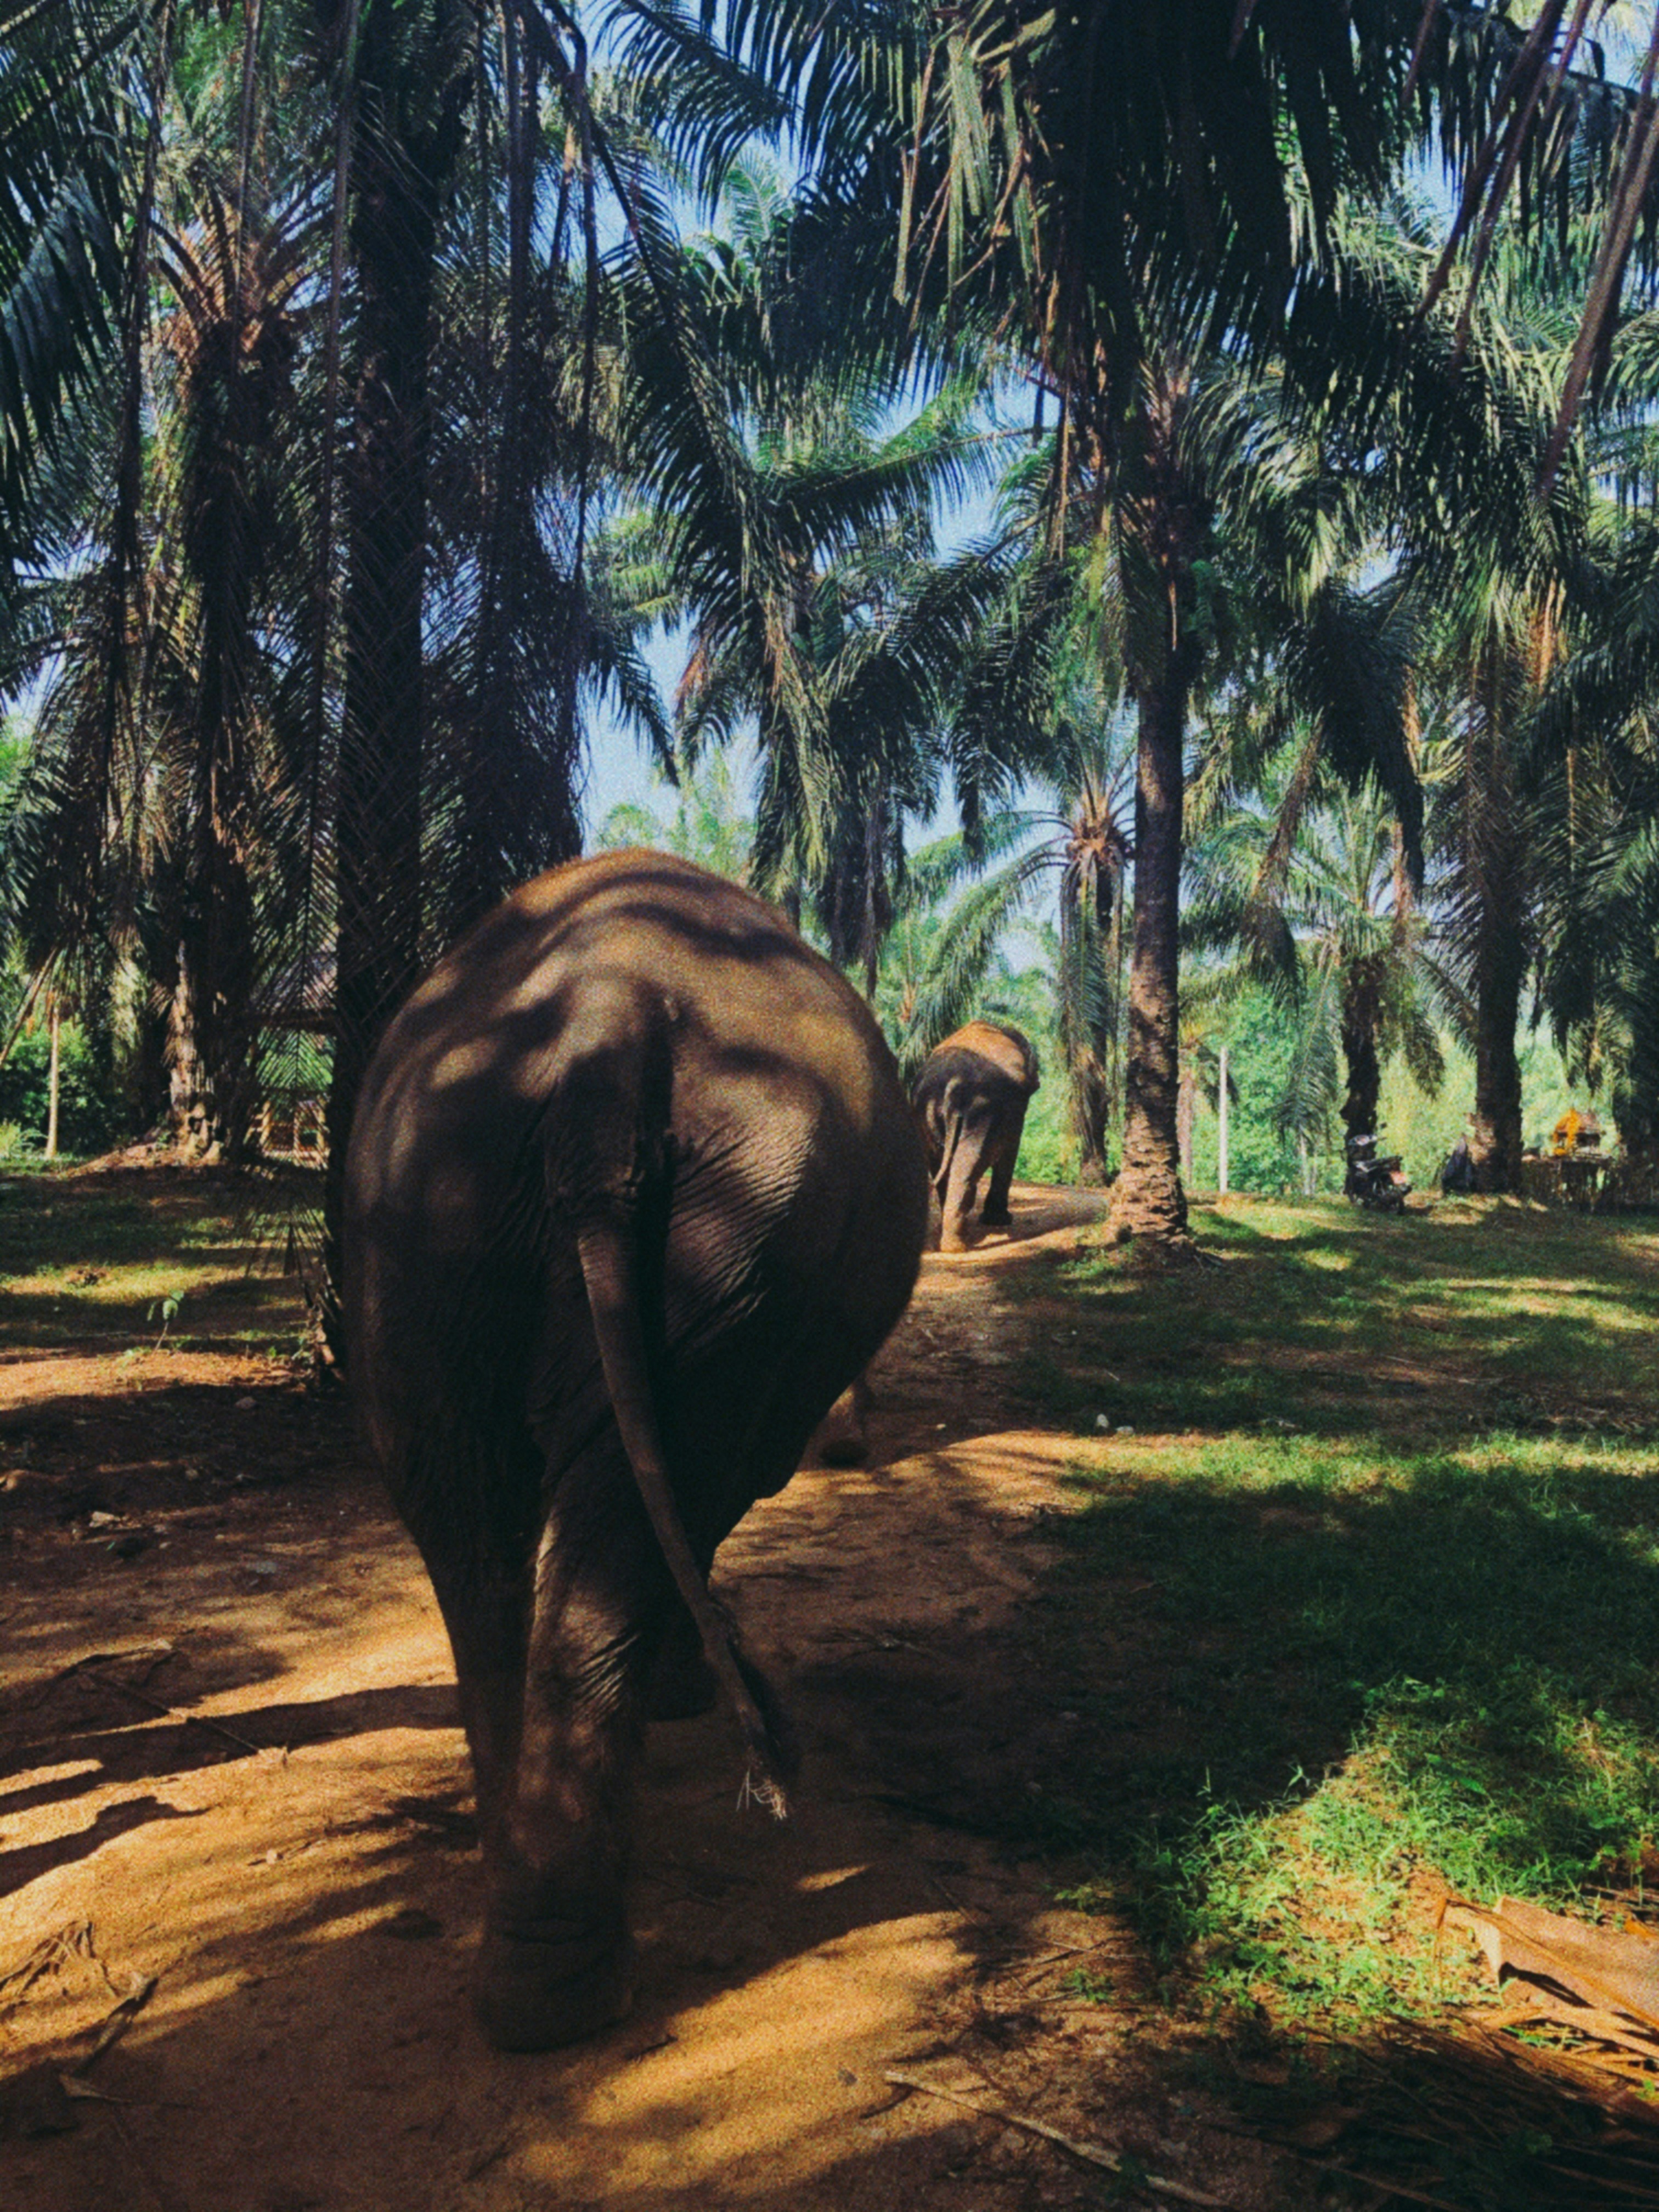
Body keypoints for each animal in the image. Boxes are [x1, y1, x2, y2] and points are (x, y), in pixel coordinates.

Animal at [343, 850, 929, 2051]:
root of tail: (604, 1018)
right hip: (728, 1234)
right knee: (612, 1514)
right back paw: (571, 1995)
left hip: (439, 1201)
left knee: (469, 1521)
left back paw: (523, 1944)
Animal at [912, 1020, 1040, 1252]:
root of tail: (953, 1086)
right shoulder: (1014, 1108)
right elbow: (1010, 1150)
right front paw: (1000, 1221)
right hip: (982, 1112)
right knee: (969, 1162)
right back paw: (958, 1246)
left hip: (927, 1112)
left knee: (939, 1160)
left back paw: (951, 1239)